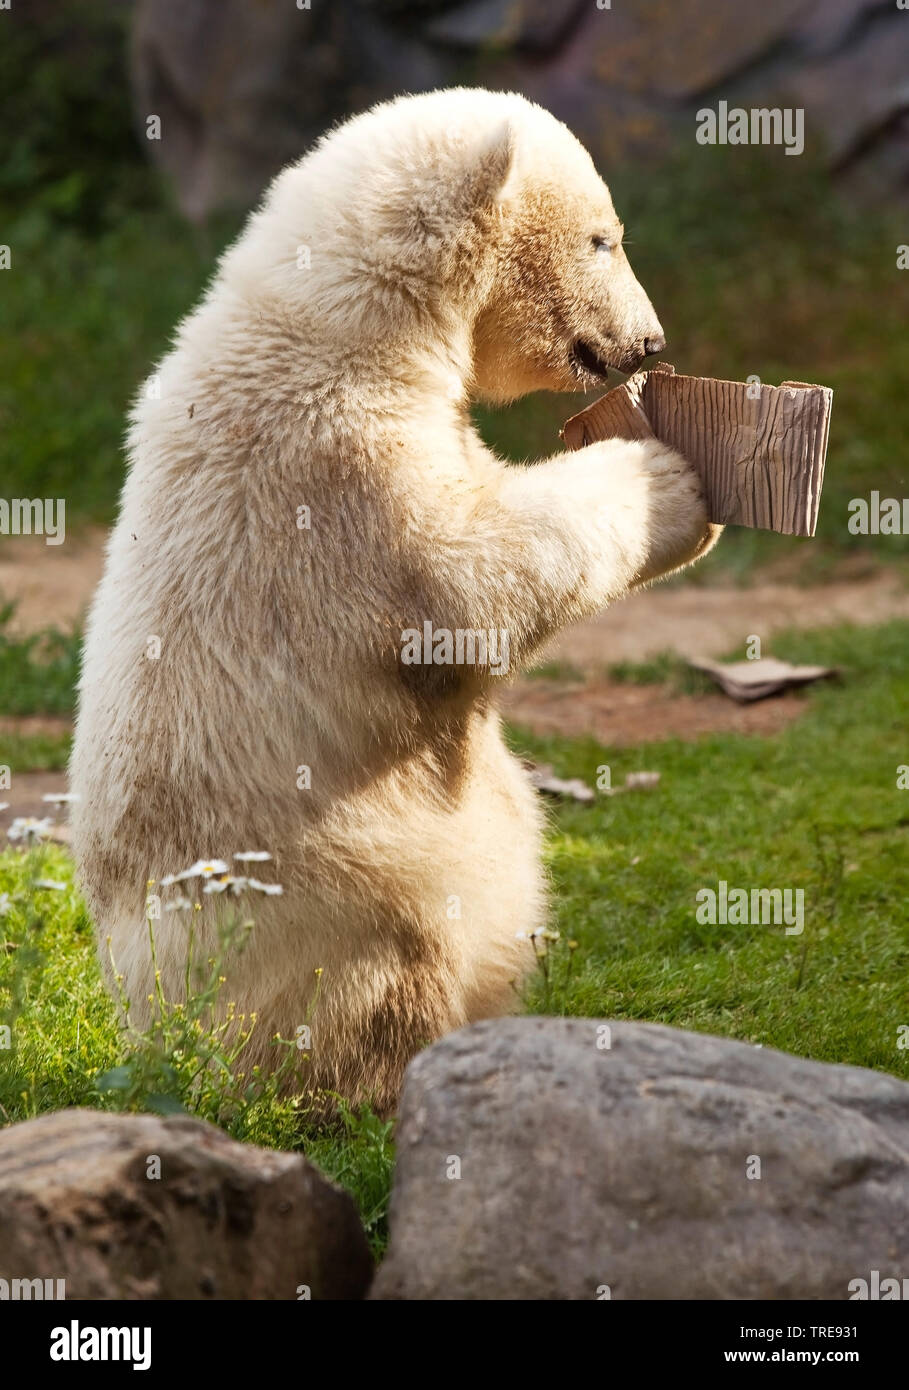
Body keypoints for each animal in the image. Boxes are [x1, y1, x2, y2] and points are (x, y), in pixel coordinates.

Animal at [70, 87, 720, 1114]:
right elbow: (467, 582)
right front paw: (664, 480)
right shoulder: (336, 458)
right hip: (319, 883)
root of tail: (157, 1025)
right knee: (384, 957)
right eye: (602, 238)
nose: (647, 343)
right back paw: (389, 1074)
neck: (336, 325)